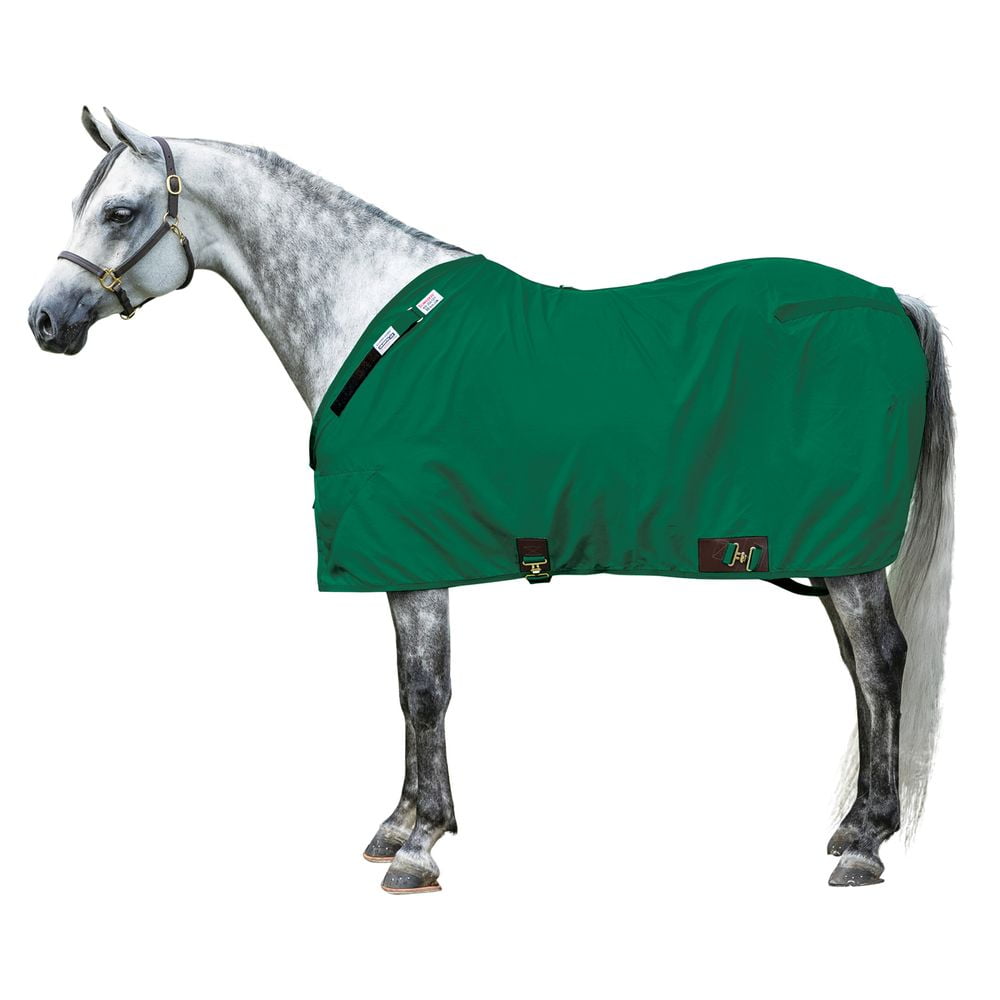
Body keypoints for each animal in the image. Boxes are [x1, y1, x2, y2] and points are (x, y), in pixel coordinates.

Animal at [27, 108, 954, 892]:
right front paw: (400, 823)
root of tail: (887, 298)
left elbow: (425, 690)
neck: (376, 333)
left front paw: (419, 844)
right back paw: (852, 827)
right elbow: (408, 690)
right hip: (827, 552)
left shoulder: (413, 554)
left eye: (118, 212)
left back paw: (867, 843)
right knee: (859, 668)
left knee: (881, 661)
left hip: (844, 551)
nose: (44, 320)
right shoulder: (402, 559)